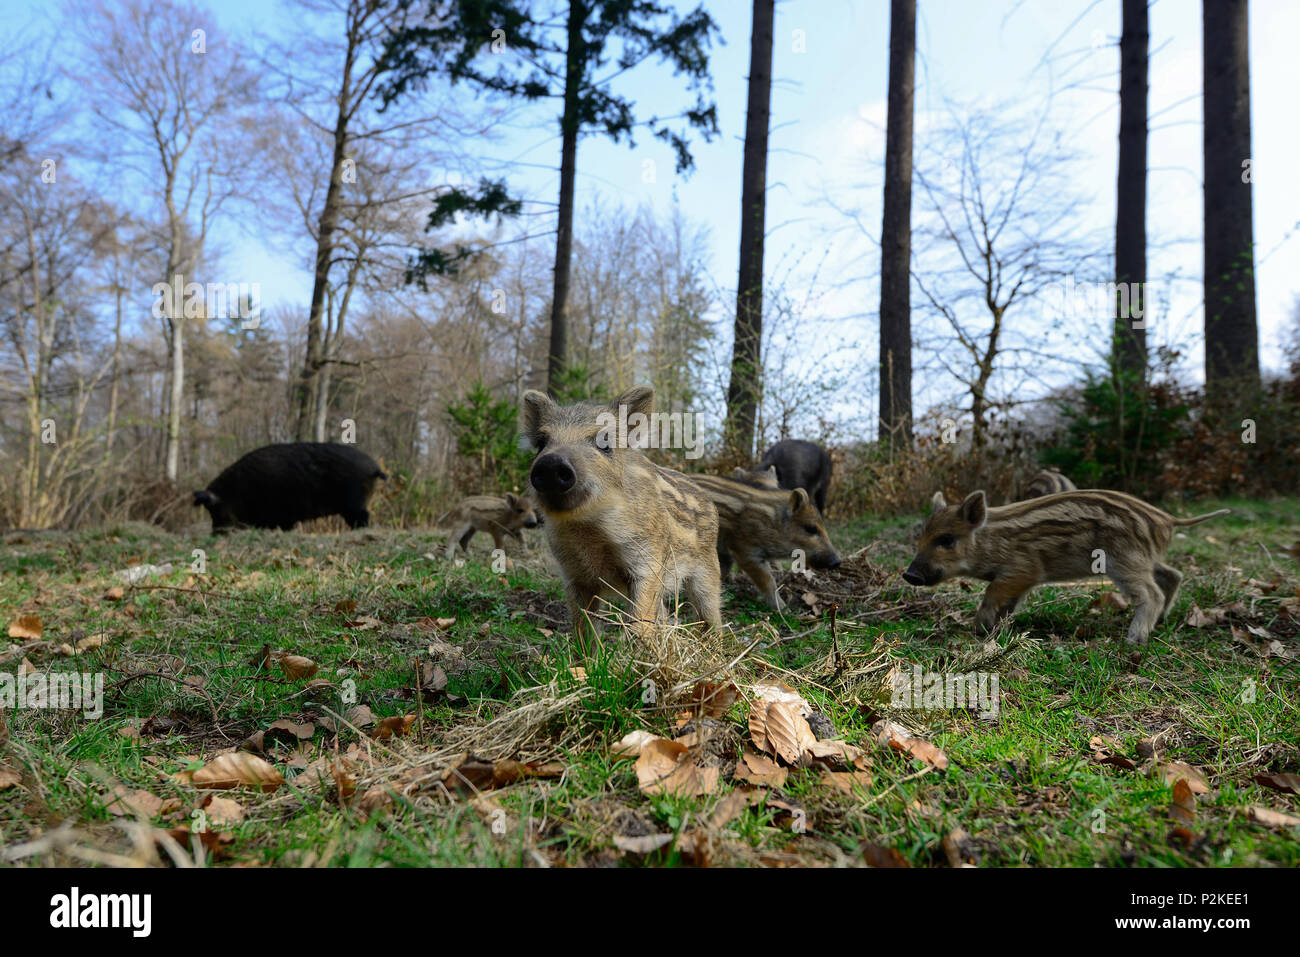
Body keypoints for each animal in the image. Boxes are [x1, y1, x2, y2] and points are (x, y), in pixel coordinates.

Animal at [193, 442, 386, 533]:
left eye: (215, 510)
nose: (215, 534)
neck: (237, 492)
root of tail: (374, 466)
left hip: (354, 503)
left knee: (363, 516)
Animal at [520, 386, 722, 643]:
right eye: (541, 443)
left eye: (604, 442)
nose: (552, 463)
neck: (589, 530)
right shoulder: (574, 574)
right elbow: (584, 627)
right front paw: (587, 655)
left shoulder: (648, 561)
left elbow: (640, 618)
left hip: (708, 569)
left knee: (711, 612)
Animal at [687, 473, 841, 610]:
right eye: (810, 528)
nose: (838, 562)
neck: (772, 522)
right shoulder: (745, 551)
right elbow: (767, 580)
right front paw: (783, 609)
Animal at [903, 489, 1230, 644]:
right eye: (920, 536)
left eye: (946, 539)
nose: (909, 574)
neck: (990, 540)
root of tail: (1167, 519)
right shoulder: (1018, 580)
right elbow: (1008, 605)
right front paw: (995, 630)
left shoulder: (1023, 570)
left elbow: (992, 595)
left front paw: (980, 627)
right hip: (1144, 559)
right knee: (1173, 575)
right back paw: (1160, 622)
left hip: (1125, 561)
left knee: (1152, 593)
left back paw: (1133, 639)